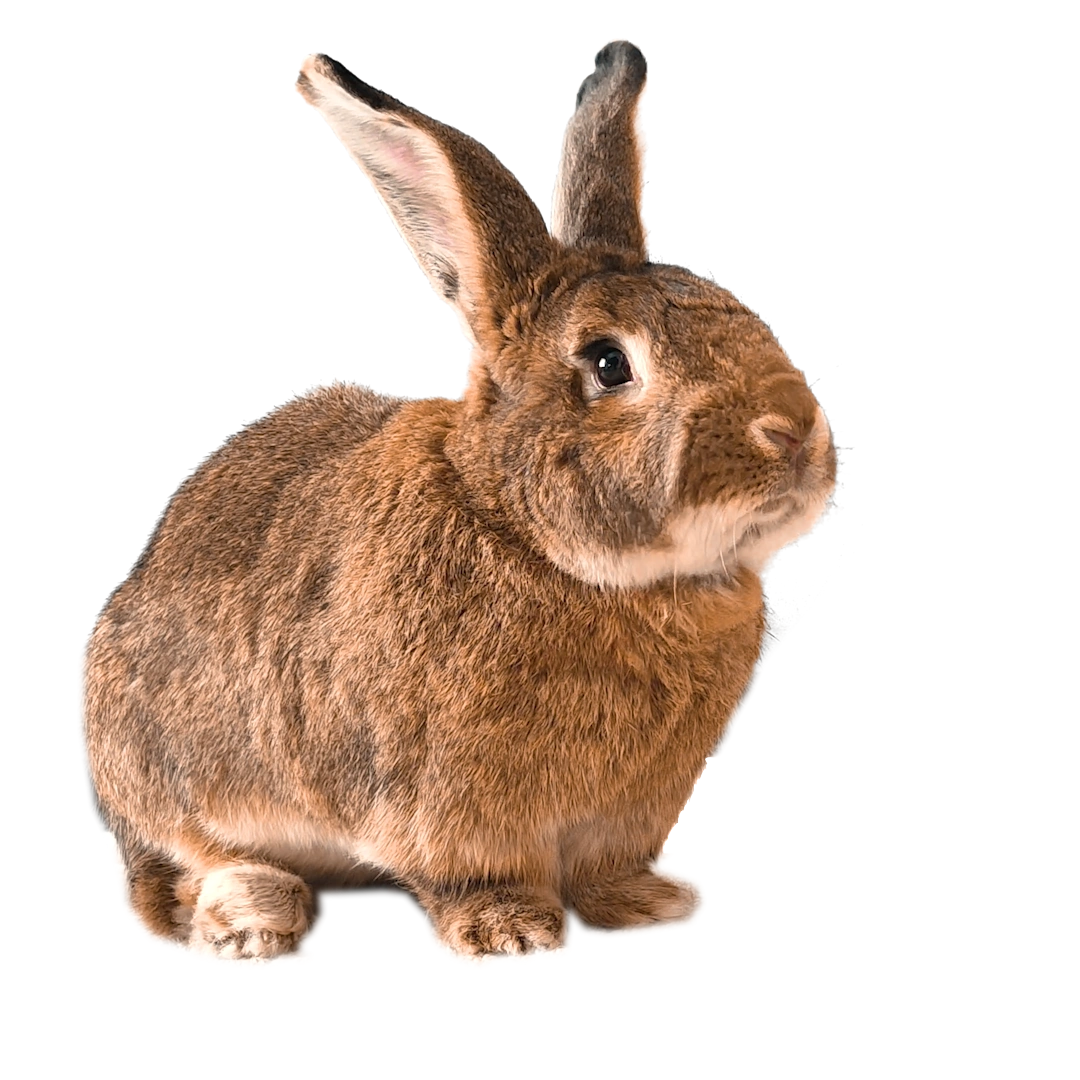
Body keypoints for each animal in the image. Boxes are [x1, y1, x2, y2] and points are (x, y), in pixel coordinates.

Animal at [76, 40, 838, 968]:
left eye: (737, 311)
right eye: (609, 363)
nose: (794, 430)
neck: (524, 531)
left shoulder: (627, 814)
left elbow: (606, 869)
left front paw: (648, 904)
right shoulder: (449, 801)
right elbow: (479, 869)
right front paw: (509, 931)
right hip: (163, 759)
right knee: (181, 863)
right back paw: (255, 915)